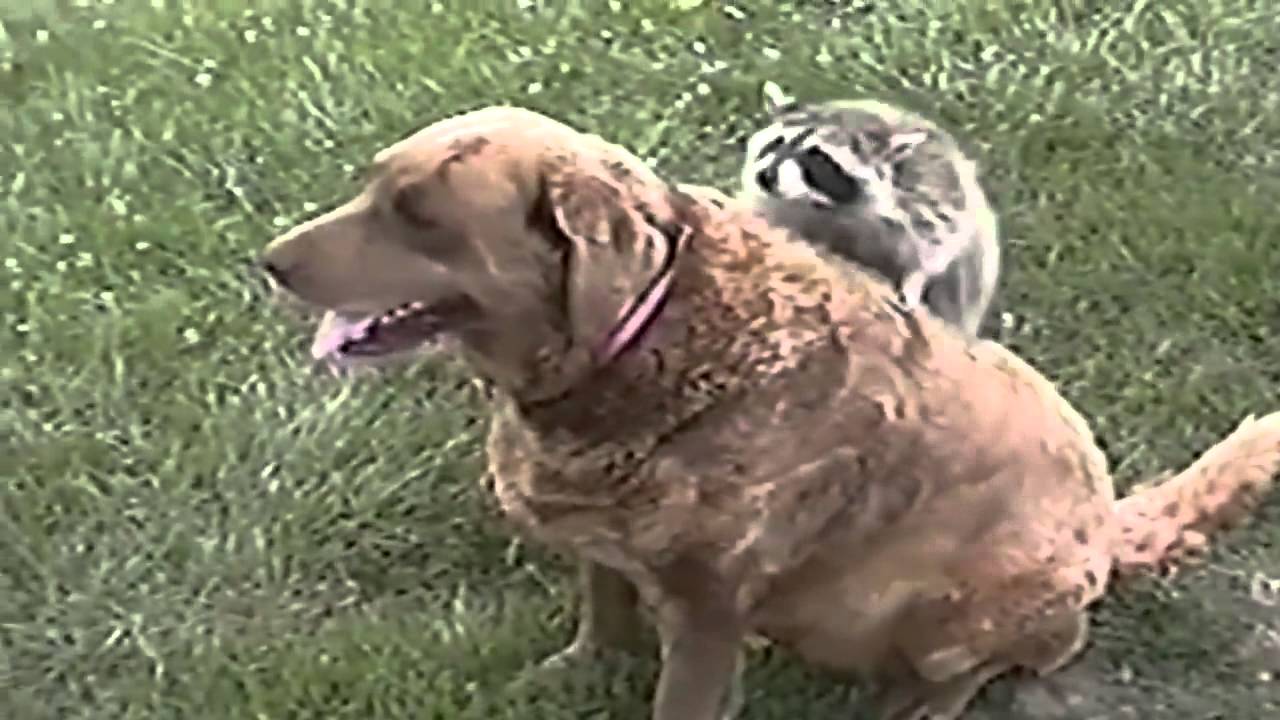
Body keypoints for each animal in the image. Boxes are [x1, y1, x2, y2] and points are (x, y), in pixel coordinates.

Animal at [740, 81, 1002, 337]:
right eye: (775, 145)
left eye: (817, 158)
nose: (765, 177)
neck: (831, 205)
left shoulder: (930, 192)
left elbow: (939, 241)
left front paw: (915, 278)